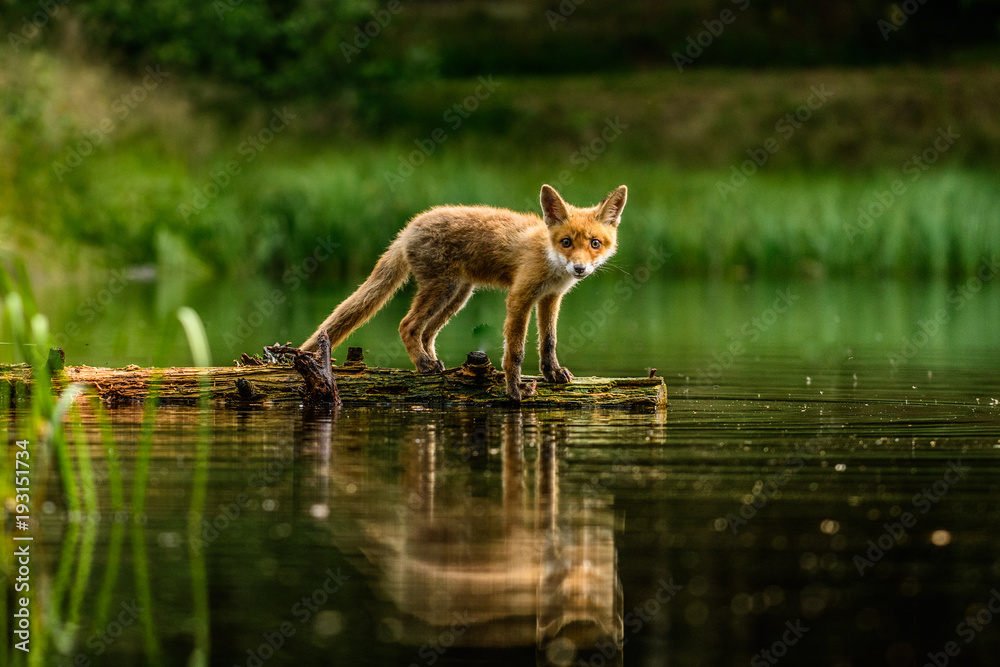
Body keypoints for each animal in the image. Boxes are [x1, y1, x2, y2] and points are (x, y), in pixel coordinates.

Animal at [301, 184, 628, 400]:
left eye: (595, 243)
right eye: (566, 242)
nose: (579, 269)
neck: (549, 259)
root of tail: (409, 227)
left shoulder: (550, 298)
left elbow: (548, 342)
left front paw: (553, 374)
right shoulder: (520, 297)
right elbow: (515, 352)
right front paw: (514, 389)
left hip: (457, 295)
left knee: (426, 332)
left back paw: (434, 364)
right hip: (443, 289)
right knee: (407, 325)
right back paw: (423, 365)